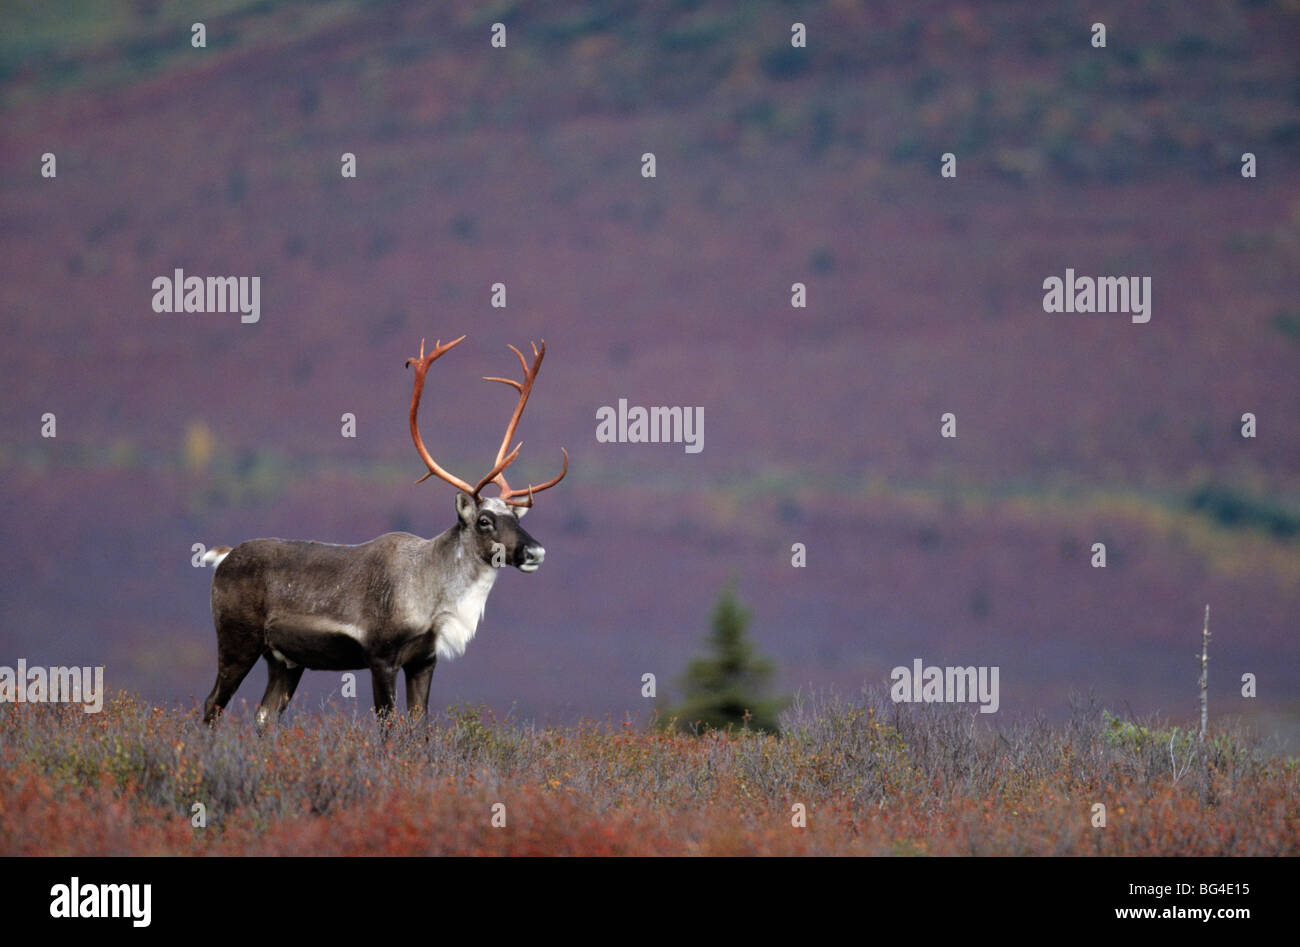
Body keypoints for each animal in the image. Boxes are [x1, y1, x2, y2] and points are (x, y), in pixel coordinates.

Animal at [199, 335, 567, 732]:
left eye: (516, 516)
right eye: (484, 520)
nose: (535, 552)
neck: (433, 592)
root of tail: (224, 556)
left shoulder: (424, 660)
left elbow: (420, 728)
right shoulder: (381, 656)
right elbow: (388, 727)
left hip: (285, 659)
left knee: (265, 715)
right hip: (238, 641)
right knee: (212, 704)